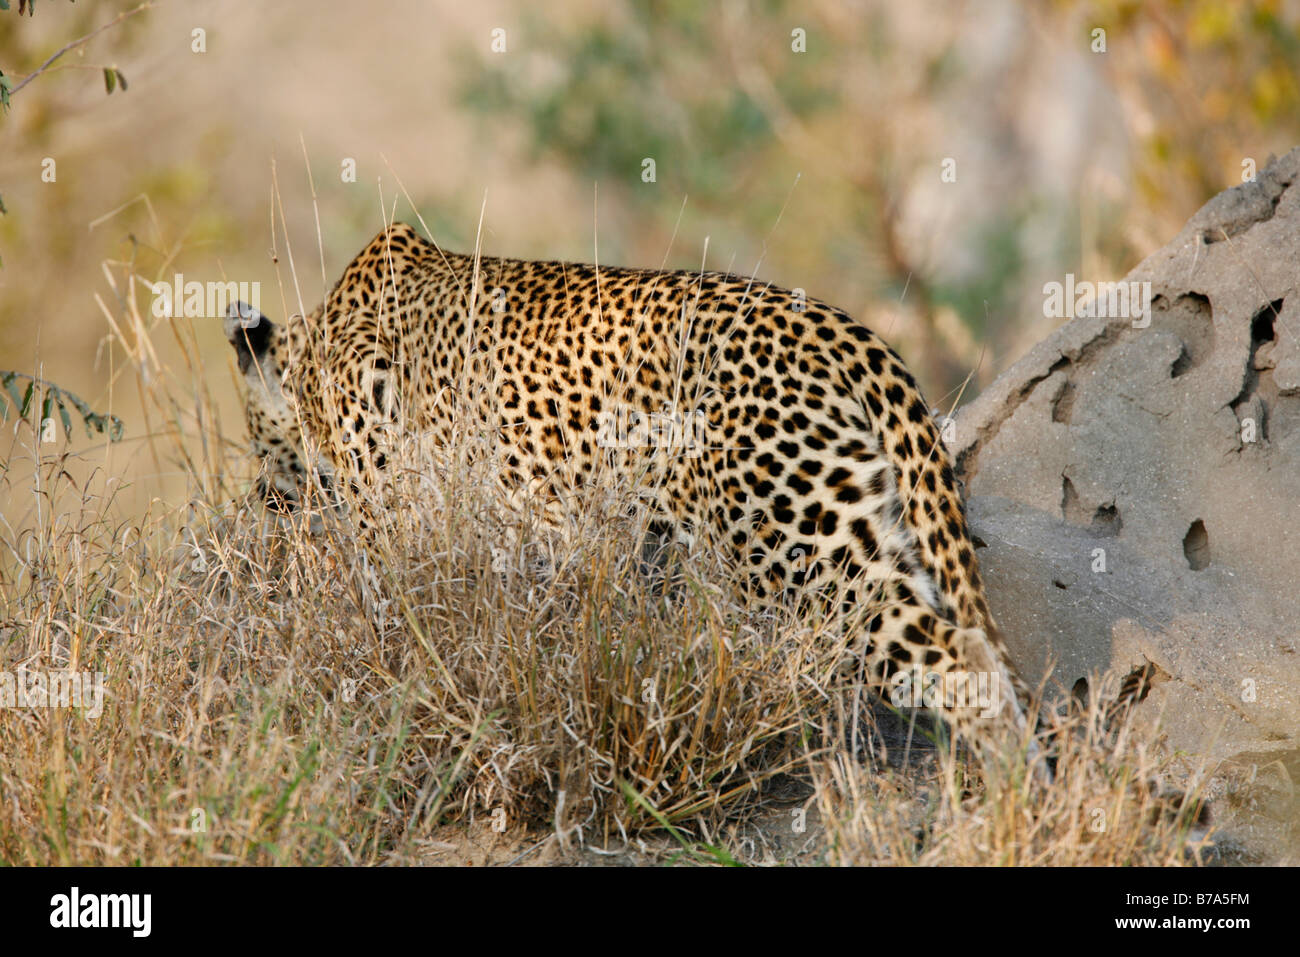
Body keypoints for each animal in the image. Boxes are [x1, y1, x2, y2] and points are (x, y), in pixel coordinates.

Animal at [224, 221, 1042, 767]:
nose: (266, 497)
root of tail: (842, 330)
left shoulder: (399, 517)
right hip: (857, 532)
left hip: (796, 555)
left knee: (957, 657)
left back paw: (1000, 800)